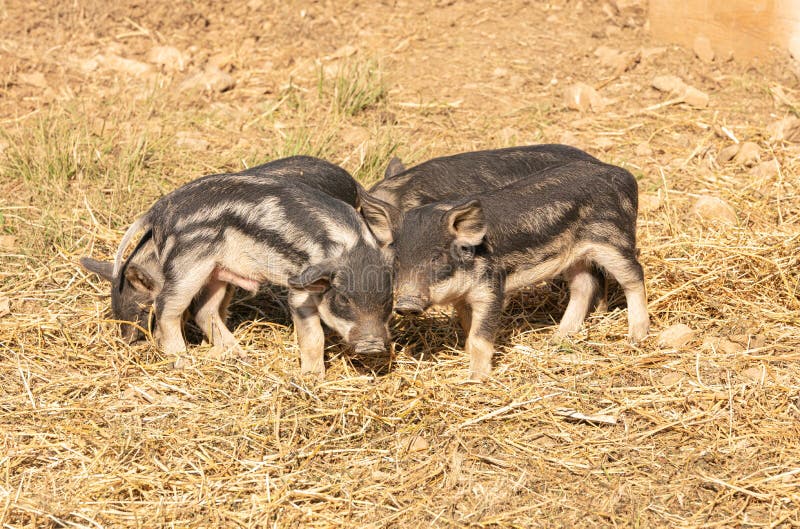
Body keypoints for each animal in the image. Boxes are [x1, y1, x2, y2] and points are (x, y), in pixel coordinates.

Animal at [80, 156, 392, 377]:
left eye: (387, 302)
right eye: (343, 299)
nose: (373, 345)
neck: (351, 246)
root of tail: (159, 211)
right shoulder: (299, 287)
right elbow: (313, 334)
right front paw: (311, 378)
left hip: (216, 272)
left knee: (204, 310)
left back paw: (233, 355)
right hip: (189, 266)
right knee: (168, 307)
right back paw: (184, 362)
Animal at [359, 160, 650, 380]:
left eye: (436, 257)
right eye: (398, 259)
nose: (406, 304)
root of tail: (624, 175)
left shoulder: (492, 289)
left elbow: (481, 337)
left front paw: (475, 379)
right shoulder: (463, 298)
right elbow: (468, 327)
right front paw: (465, 353)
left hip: (612, 240)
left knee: (634, 276)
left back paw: (636, 336)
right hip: (574, 257)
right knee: (584, 286)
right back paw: (556, 338)